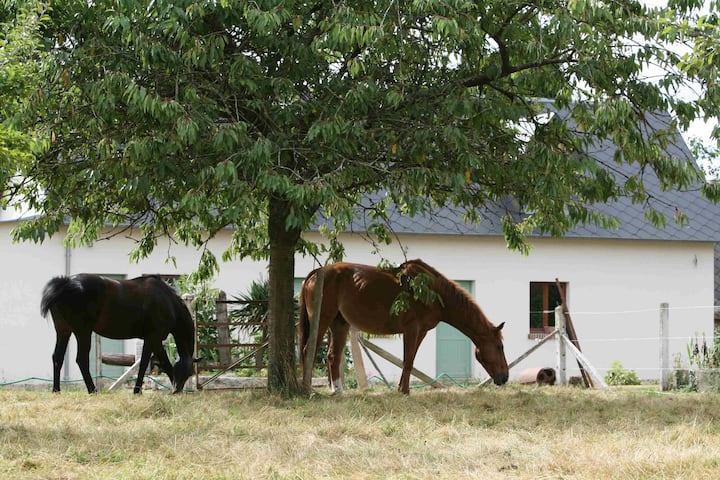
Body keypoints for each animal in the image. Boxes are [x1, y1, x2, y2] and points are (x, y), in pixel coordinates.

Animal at [40, 274, 195, 394]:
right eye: (186, 372)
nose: (178, 389)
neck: (167, 301)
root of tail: (65, 283)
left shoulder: (151, 340)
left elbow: (147, 363)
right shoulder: (154, 338)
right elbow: (159, 363)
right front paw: (138, 390)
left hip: (63, 331)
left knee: (57, 357)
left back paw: (56, 390)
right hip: (83, 332)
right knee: (81, 359)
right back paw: (92, 390)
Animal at [298, 259, 509, 394]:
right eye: (500, 346)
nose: (505, 377)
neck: (433, 291)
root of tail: (316, 273)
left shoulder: (421, 332)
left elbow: (410, 360)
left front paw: (402, 389)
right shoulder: (411, 329)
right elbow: (407, 361)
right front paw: (404, 391)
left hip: (339, 324)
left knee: (332, 356)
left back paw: (338, 392)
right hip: (322, 320)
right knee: (309, 351)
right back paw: (308, 389)